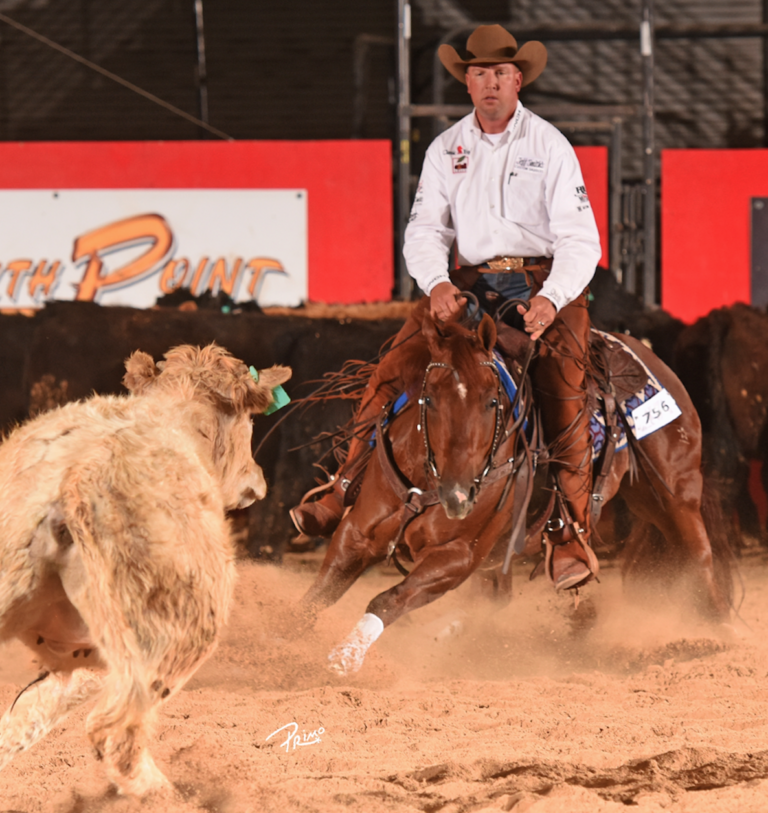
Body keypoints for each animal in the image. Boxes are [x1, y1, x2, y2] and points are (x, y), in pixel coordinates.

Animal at [299, 308, 734, 677]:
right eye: (430, 397)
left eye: (492, 400)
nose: (458, 497)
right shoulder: (357, 534)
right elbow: (315, 598)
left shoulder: (457, 557)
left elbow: (387, 599)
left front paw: (344, 656)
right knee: (494, 601)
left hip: (675, 497)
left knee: (701, 564)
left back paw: (719, 639)